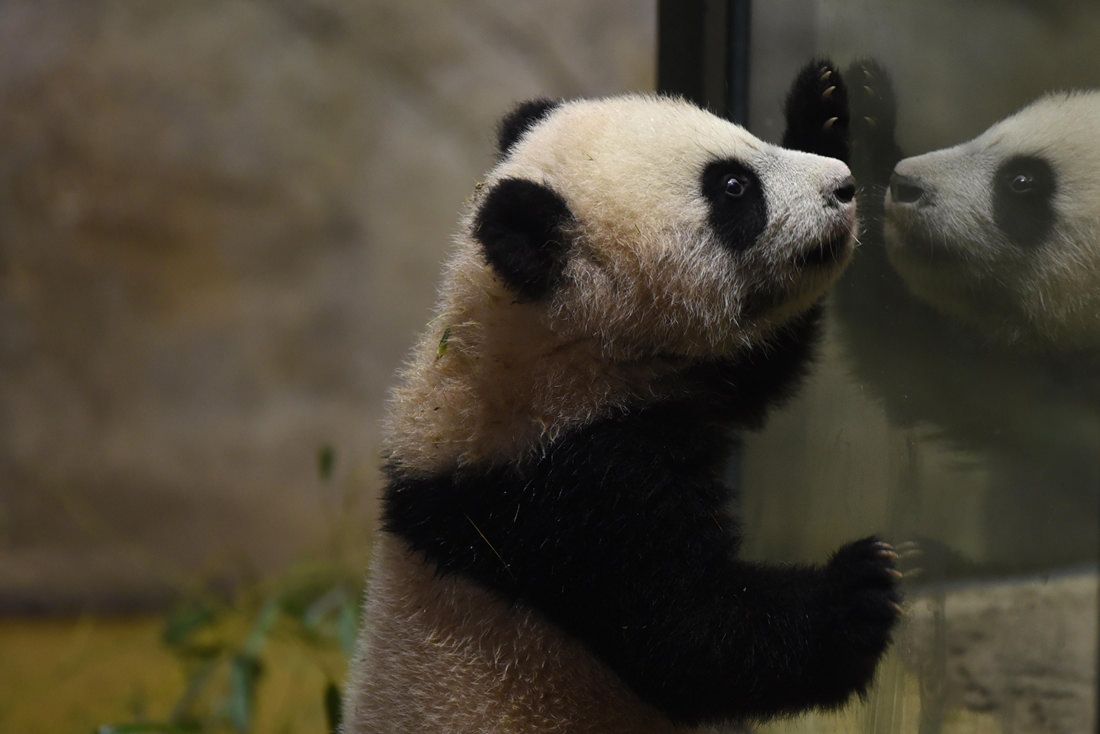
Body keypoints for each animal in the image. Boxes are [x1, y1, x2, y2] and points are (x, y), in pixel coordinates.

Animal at [343, 62, 902, 733]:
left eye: (746, 140)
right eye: (734, 188)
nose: (842, 187)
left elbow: (756, 361)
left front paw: (829, 107)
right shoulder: (561, 494)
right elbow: (687, 636)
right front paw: (860, 588)